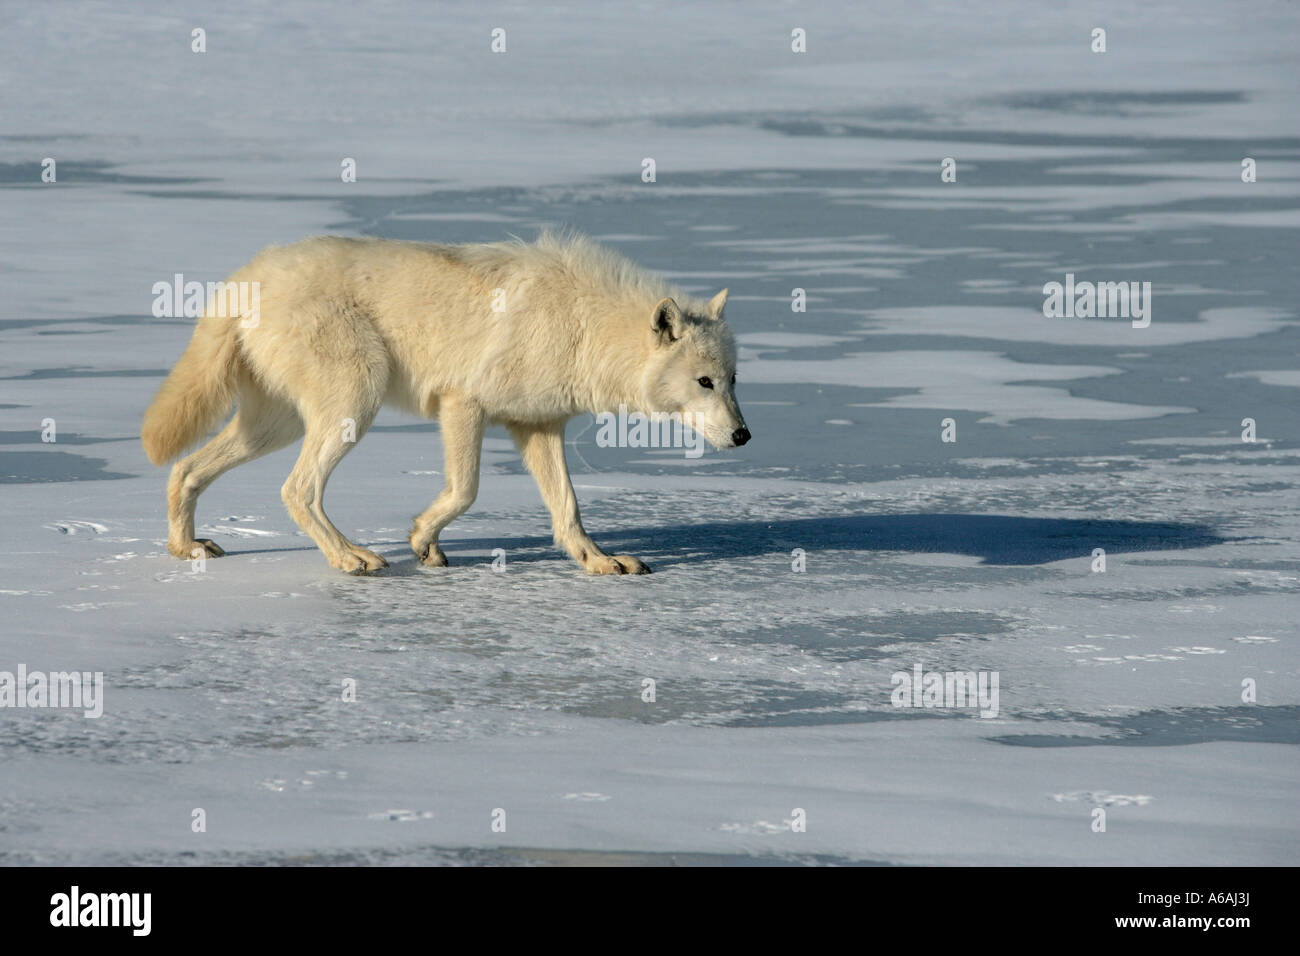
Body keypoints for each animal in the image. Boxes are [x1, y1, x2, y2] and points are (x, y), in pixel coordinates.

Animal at [141, 231, 749, 575]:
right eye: (703, 382)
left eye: (733, 379)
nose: (744, 436)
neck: (584, 329)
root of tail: (249, 273)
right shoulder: (464, 404)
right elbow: (465, 490)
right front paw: (422, 543)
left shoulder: (539, 425)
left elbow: (568, 507)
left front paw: (598, 561)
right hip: (354, 405)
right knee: (298, 489)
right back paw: (350, 557)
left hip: (277, 424)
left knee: (186, 469)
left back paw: (188, 549)